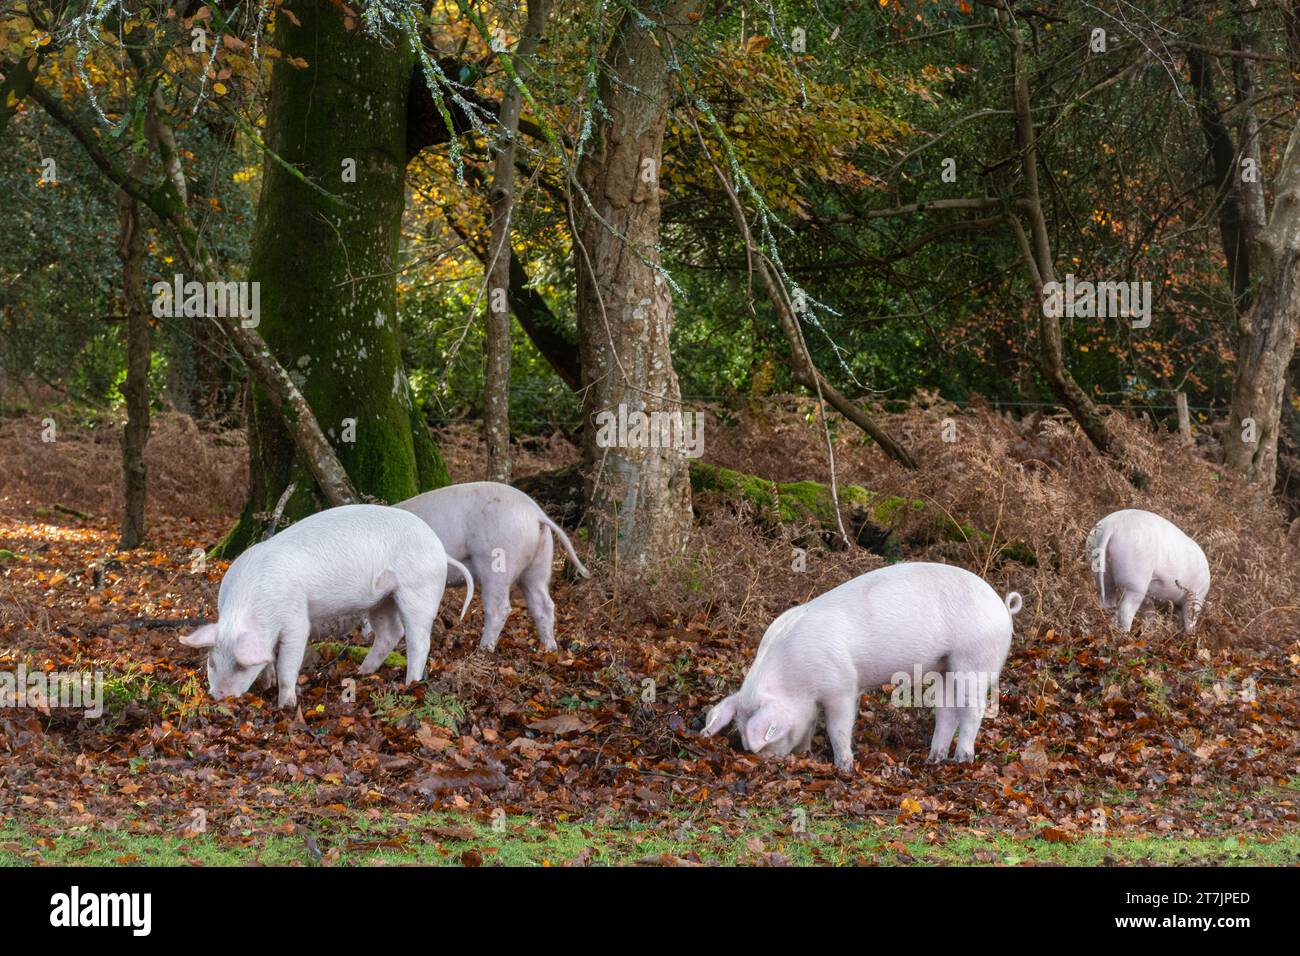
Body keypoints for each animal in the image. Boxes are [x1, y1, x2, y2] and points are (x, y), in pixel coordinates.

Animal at [178, 504, 473, 707]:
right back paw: (362, 672)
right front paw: (267, 682)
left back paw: (409, 683)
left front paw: (286, 704)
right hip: (382, 599)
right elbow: (268, 656)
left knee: (419, 640)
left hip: (419, 590)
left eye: (240, 666)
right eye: (212, 662)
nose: (218, 696)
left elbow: (288, 660)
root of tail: (439, 548)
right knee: (390, 633)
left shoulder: (296, 618)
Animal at [362, 482, 589, 656]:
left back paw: (483, 649)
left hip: (496, 562)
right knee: (543, 604)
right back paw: (550, 649)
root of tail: (536, 513)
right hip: (539, 562)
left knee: (500, 608)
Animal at [702, 562, 1020, 770]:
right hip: (945, 665)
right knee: (946, 711)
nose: (771, 761)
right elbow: (810, 723)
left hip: (975, 659)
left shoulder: (842, 687)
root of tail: (1002, 606)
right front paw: (807, 752)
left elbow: (838, 728)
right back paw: (933, 759)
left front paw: (844, 767)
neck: (794, 677)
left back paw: (963, 759)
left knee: (974, 709)